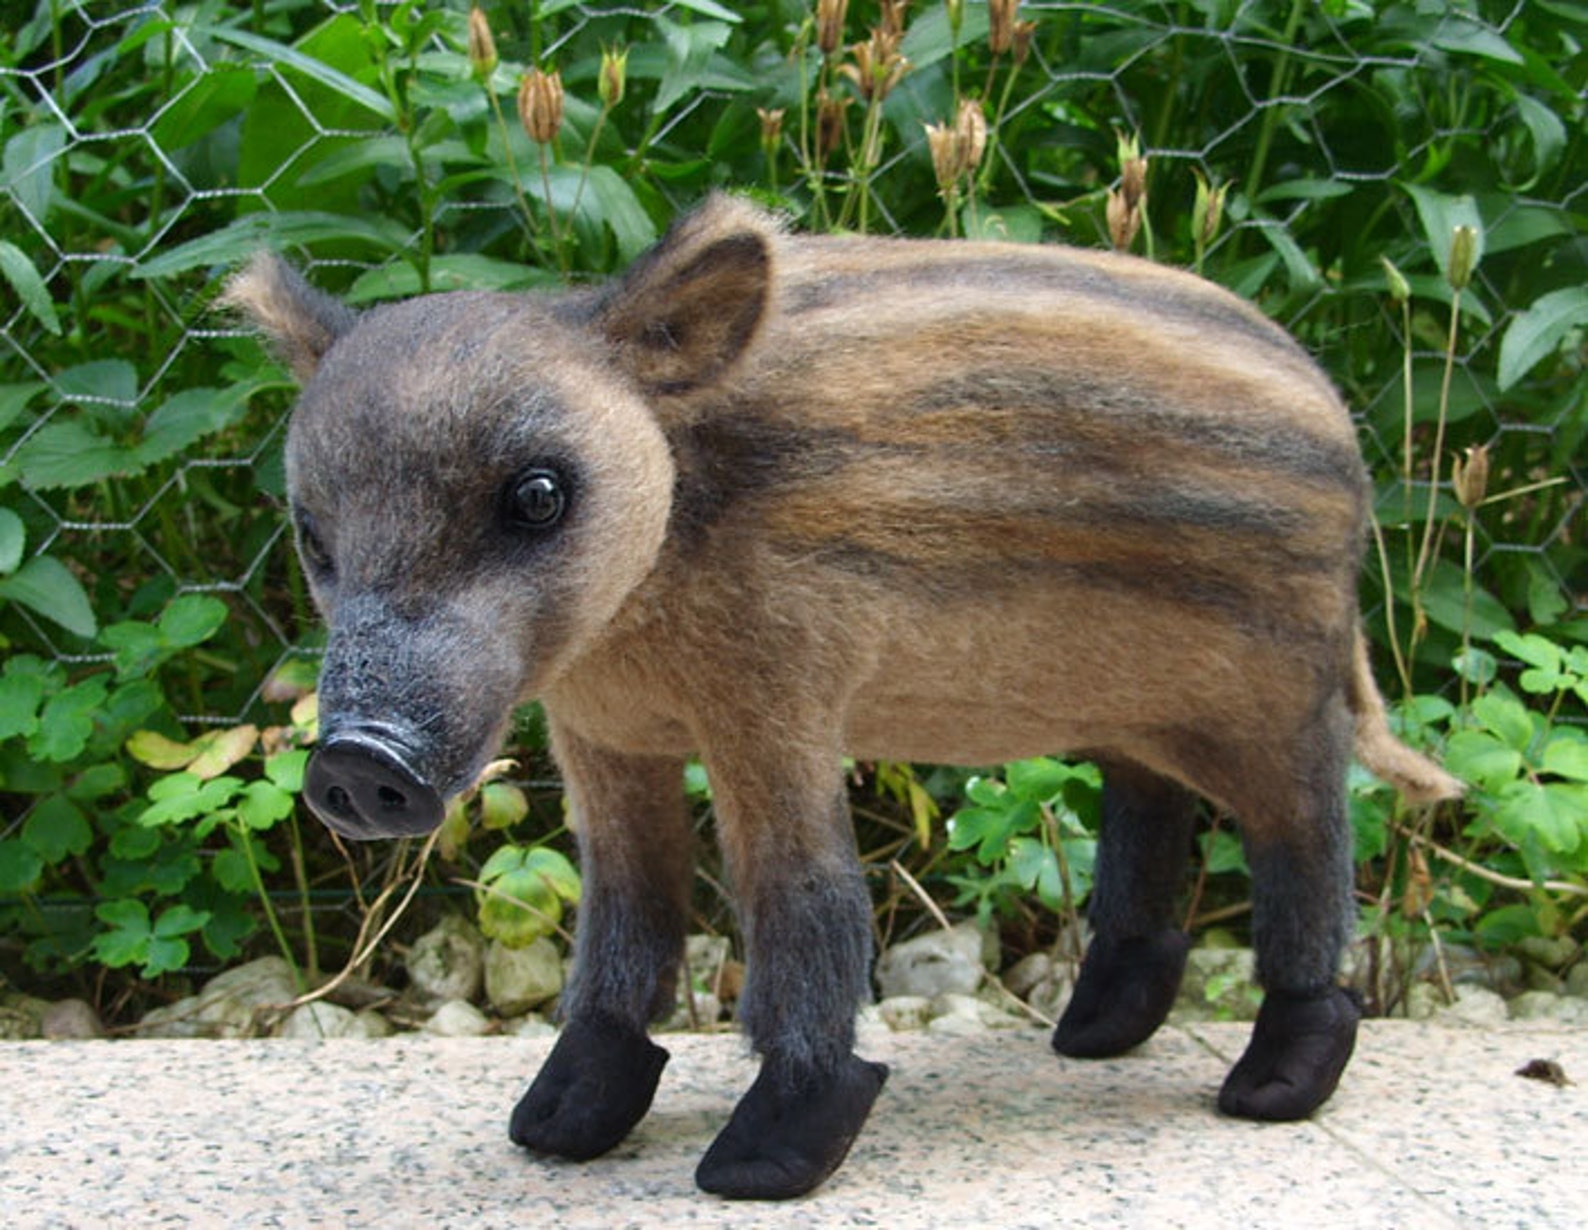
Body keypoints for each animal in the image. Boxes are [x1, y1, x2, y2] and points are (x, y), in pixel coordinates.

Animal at [223, 195, 1461, 1201]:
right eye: (314, 535)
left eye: (536, 495)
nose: (354, 763)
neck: (636, 622)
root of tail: (1349, 453)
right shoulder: (600, 734)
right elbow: (624, 912)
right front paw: (551, 1133)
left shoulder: (781, 692)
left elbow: (806, 899)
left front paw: (755, 1170)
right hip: (1135, 713)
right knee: (1147, 811)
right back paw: (1084, 1042)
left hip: (1279, 695)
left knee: (1308, 839)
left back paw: (1265, 1092)